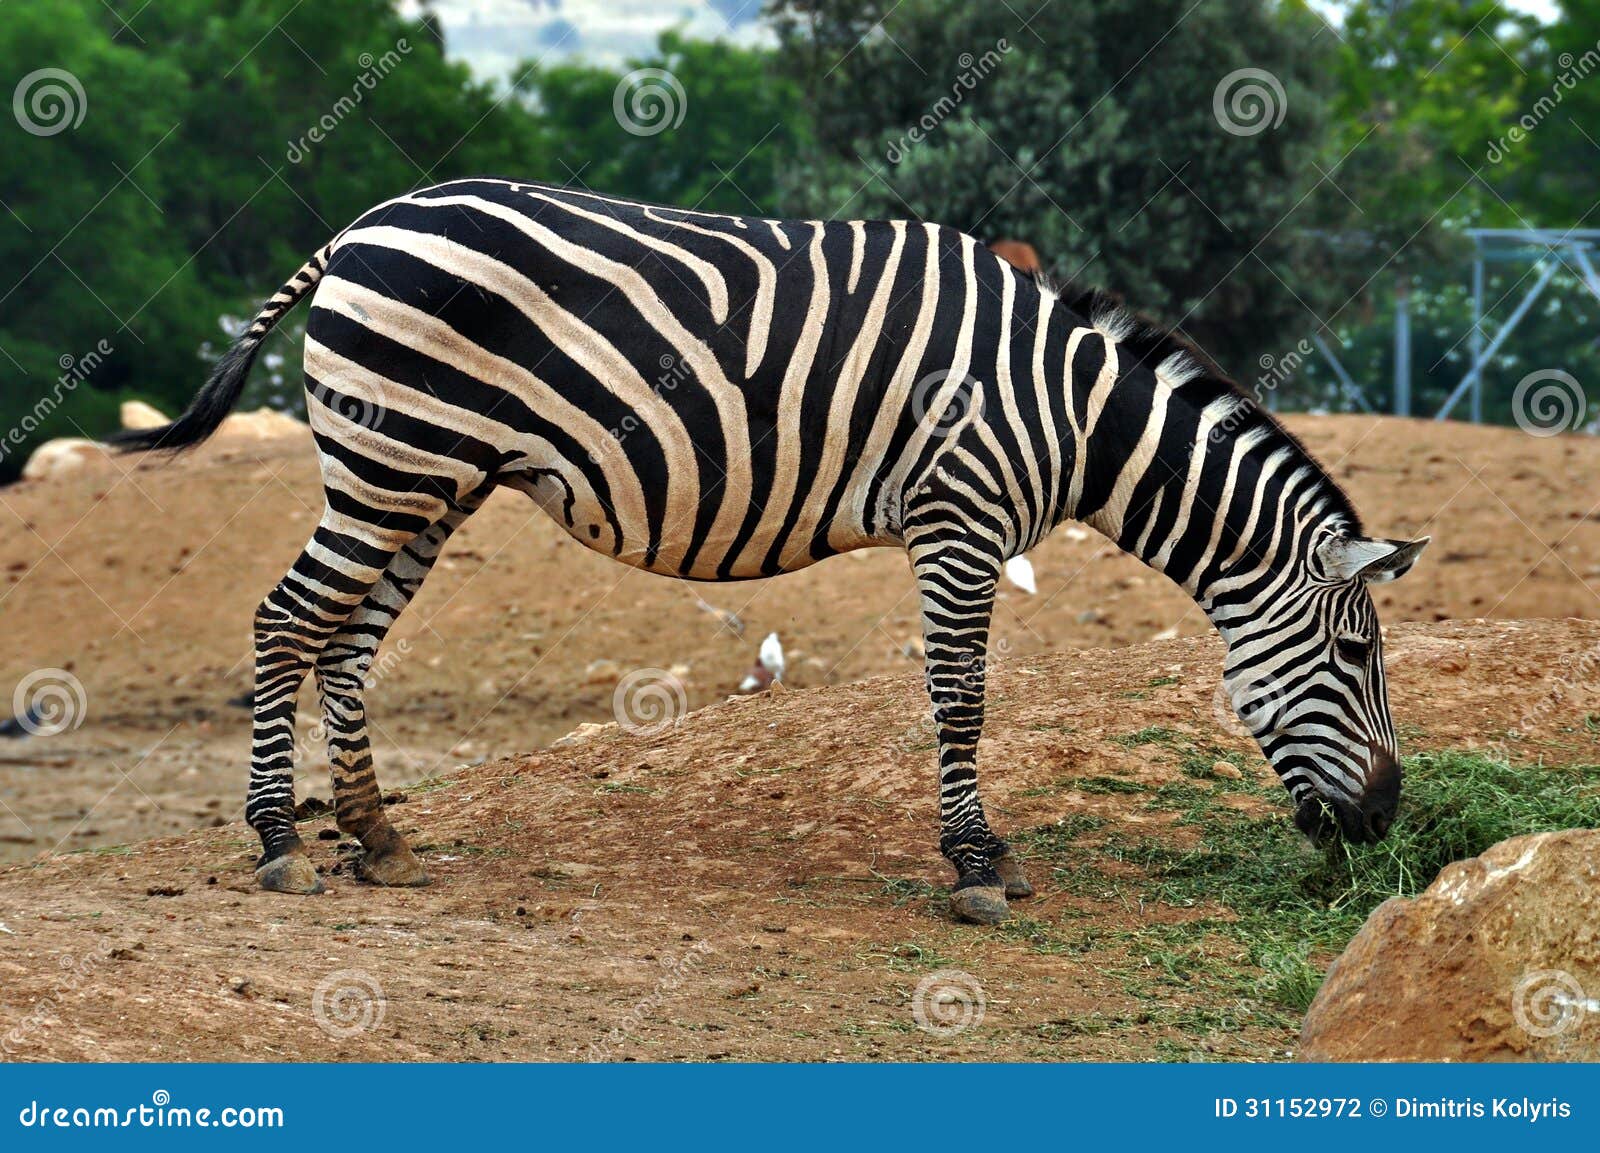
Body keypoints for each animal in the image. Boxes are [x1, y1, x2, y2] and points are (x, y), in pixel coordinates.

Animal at [112, 179, 1428, 925]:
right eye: (1357, 656)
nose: (1383, 821)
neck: (1071, 409)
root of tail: (356, 227)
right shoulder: (959, 519)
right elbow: (962, 695)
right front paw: (976, 866)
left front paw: (984, 853)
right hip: (395, 455)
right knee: (288, 619)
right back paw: (281, 842)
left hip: (433, 475)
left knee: (348, 638)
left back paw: (375, 836)